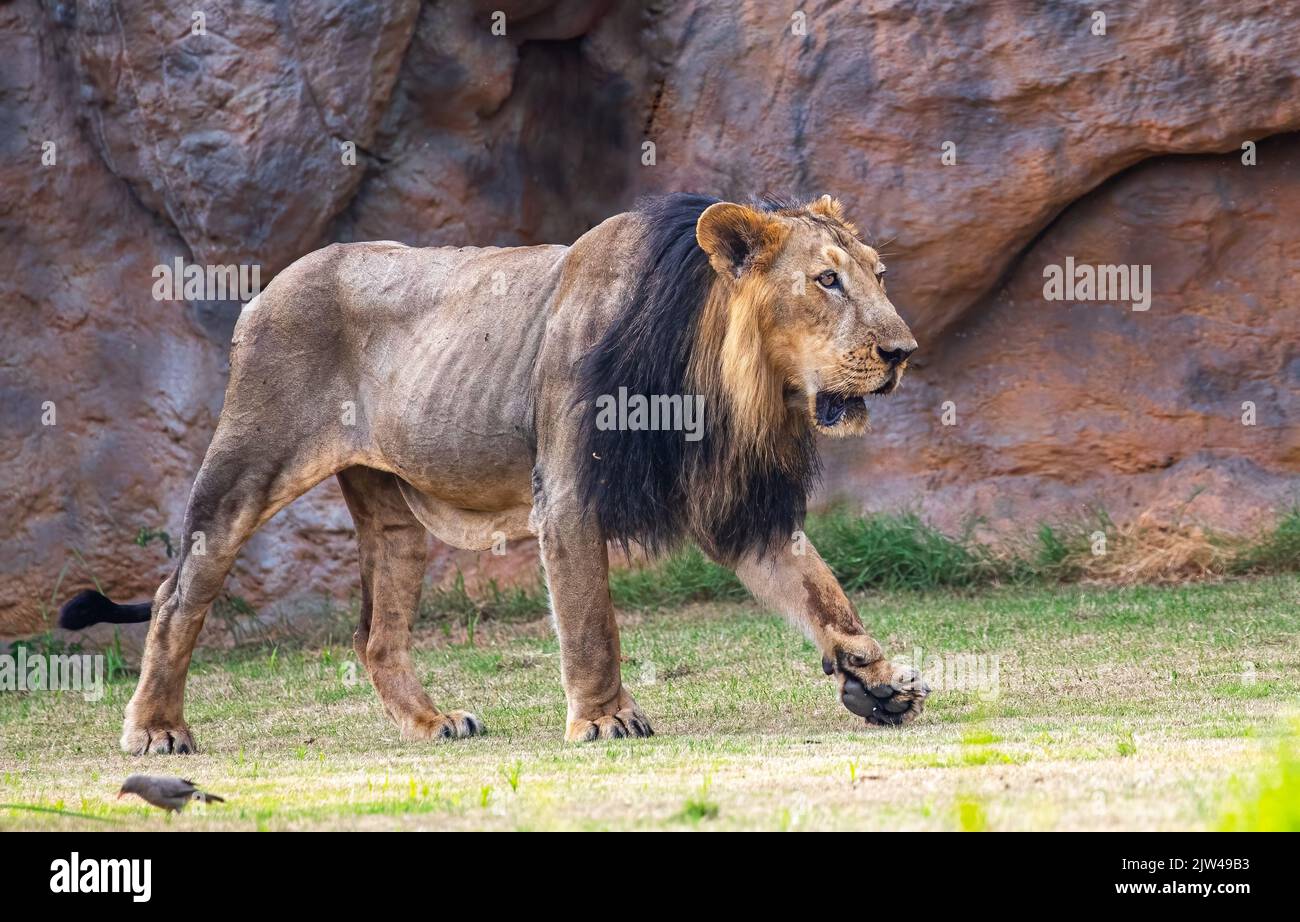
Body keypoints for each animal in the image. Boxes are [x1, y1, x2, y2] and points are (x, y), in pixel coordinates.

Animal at [60, 192, 929, 753]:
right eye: (826, 280)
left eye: (879, 274)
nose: (902, 352)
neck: (723, 374)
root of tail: (264, 289)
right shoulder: (568, 491)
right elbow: (590, 620)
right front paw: (604, 720)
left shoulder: (737, 509)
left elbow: (820, 590)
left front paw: (877, 677)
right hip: (245, 466)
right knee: (178, 595)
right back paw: (156, 731)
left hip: (394, 516)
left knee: (376, 636)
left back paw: (434, 724)